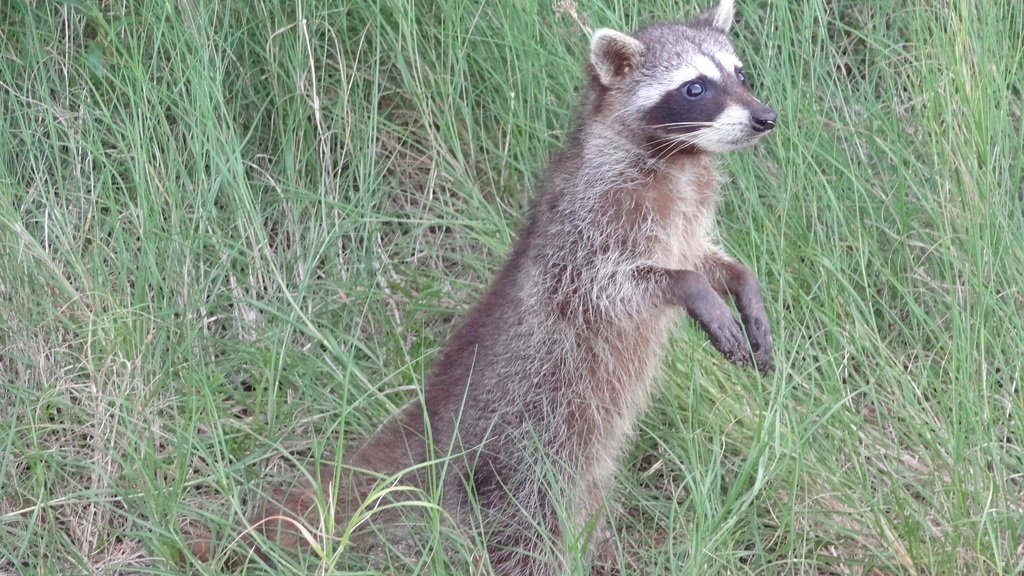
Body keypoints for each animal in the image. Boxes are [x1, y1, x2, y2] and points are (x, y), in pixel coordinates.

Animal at [221, 0, 777, 573]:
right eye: (695, 87)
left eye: (739, 75)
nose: (766, 117)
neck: (681, 158)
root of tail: (435, 422)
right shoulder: (588, 221)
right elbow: (603, 285)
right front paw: (692, 290)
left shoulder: (683, 219)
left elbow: (705, 258)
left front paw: (742, 286)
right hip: (521, 450)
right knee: (525, 530)